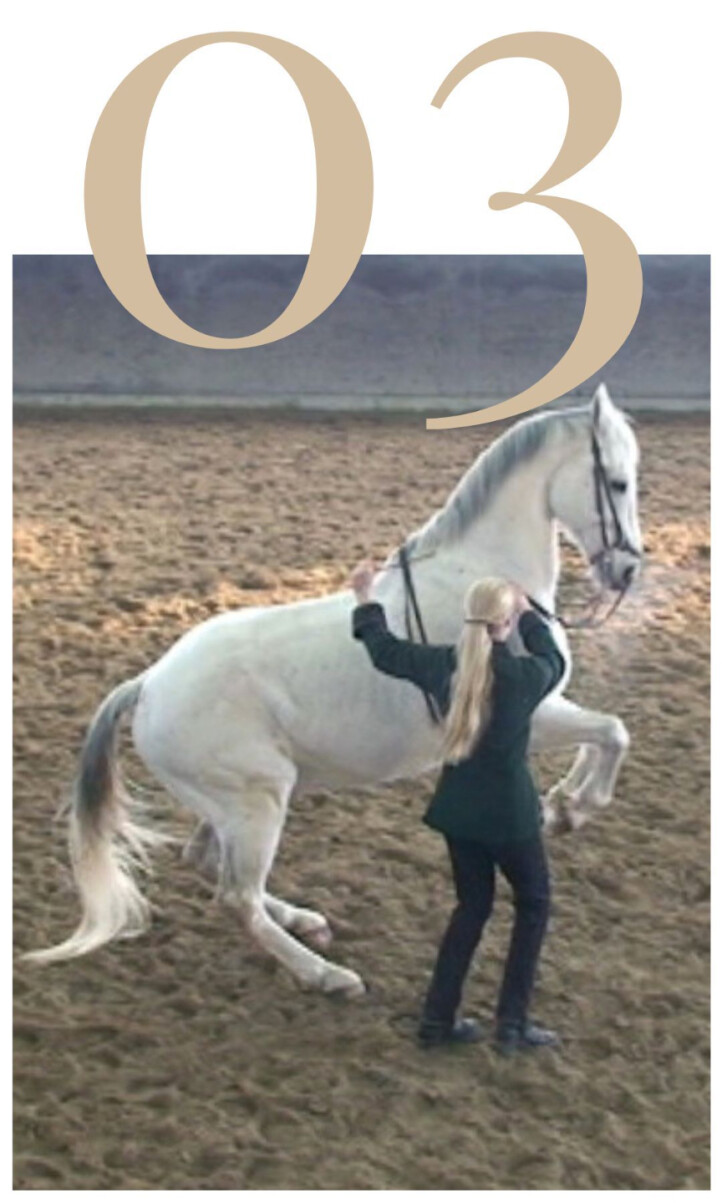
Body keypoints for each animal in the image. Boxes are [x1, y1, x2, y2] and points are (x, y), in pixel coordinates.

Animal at [26, 383, 643, 999]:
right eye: (617, 482)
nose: (628, 572)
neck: (482, 583)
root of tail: (148, 685)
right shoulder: (526, 715)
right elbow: (612, 731)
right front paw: (573, 809)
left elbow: (605, 733)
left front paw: (560, 805)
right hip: (257, 799)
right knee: (238, 896)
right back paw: (326, 974)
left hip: (235, 804)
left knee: (206, 860)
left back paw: (306, 922)